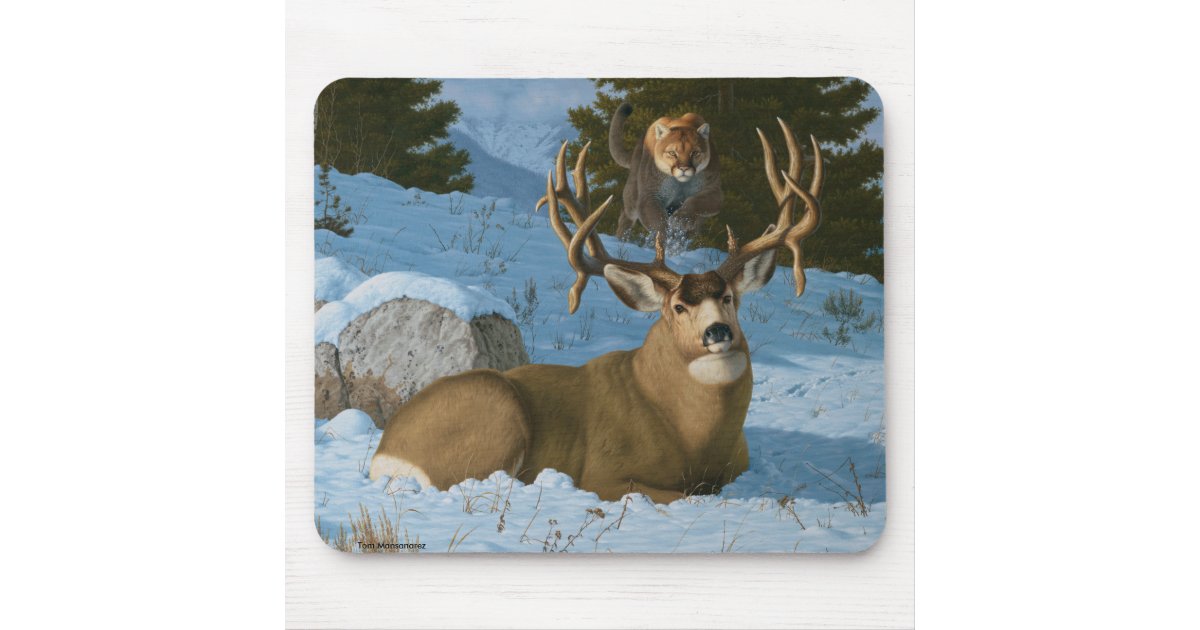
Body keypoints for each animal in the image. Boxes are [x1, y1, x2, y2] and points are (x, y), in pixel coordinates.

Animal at [369, 119, 824, 504]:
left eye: (729, 297)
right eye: (677, 306)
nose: (717, 332)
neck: (693, 437)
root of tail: (384, 454)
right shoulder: (606, 472)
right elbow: (683, 496)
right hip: (495, 415)